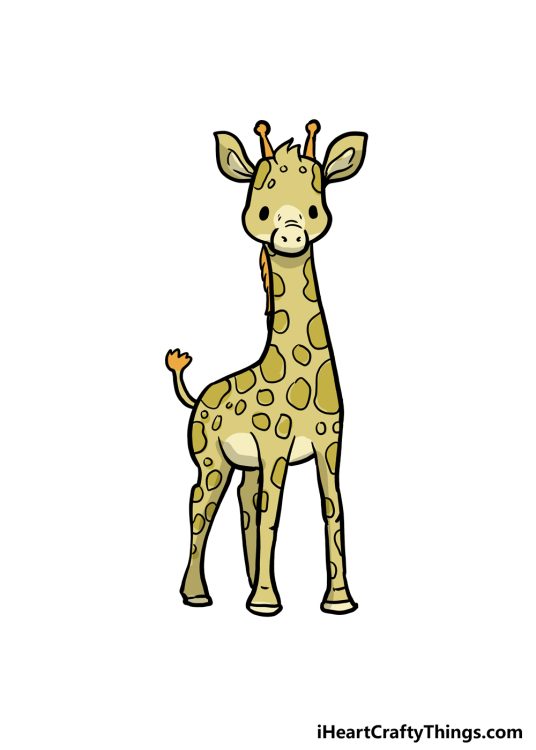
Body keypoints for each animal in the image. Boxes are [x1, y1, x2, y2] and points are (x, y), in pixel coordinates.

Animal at [166, 120, 367, 616]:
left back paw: (243, 584)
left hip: (246, 463)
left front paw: (338, 600)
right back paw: (198, 594)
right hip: (211, 457)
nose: (290, 234)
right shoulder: (275, 445)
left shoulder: (330, 444)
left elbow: (332, 509)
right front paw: (265, 602)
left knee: (243, 501)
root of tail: (197, 395)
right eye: (260, 210)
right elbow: (272, 513)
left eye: (315, 208)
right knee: (200, 504)